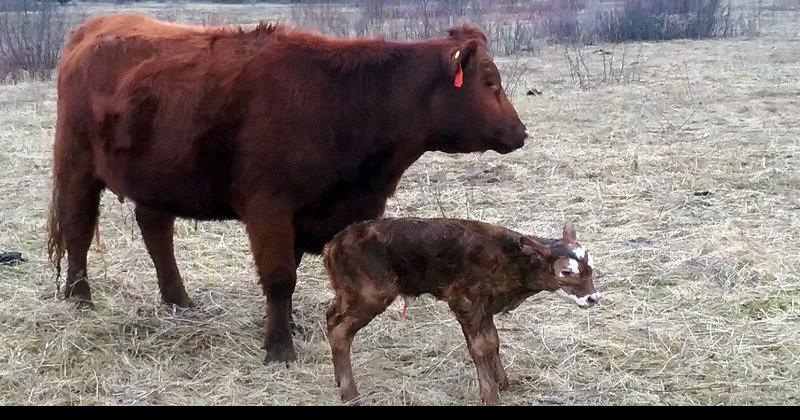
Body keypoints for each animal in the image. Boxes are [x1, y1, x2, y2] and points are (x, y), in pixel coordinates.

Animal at [46, 13, 527, 364]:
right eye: (490, 81)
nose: (521, 132)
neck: (349, 99)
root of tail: (96, 26)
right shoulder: (270, 209)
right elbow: (279, 277)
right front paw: (279, 348)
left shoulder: (304, 214)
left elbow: (289, 275)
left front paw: (288, 327)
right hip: (76, 165)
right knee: (78, 228)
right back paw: (80, 297)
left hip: (158, 177)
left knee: (155, 231)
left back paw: (178, 299)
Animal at [323, 218, 601, 404]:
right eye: (566, 271)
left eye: (591, 266)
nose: (593, 297)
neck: (509, 259)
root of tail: (333, 245)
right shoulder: (465, 301)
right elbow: (480, 347)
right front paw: (490, 396)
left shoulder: (485, 307)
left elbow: (493, 341)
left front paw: (503, 383)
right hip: (371, 294)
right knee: (340, 331)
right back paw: (350, 394)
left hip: (348, 294)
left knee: (330, 317)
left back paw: (338, 381)